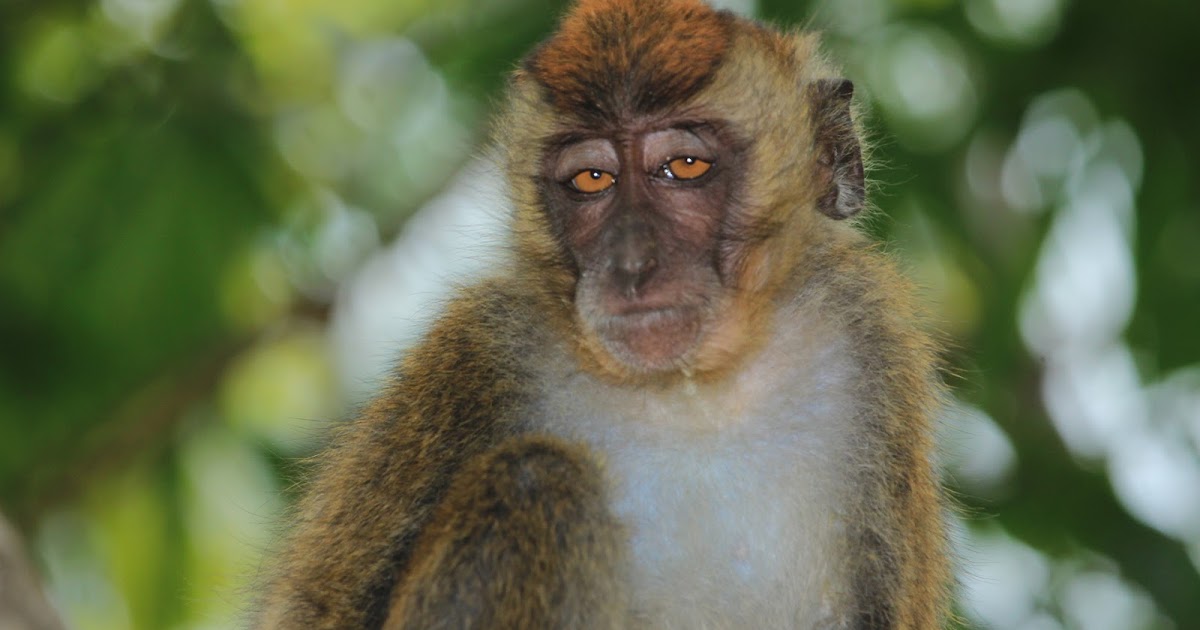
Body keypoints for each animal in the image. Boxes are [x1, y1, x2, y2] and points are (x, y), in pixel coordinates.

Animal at [255, 0, 951, 628]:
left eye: (684, 166)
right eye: (592, 180)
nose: (631, 263)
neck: (692, 392)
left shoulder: (868, 341)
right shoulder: (480, 347)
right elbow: (315, 610)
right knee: (535, 477)